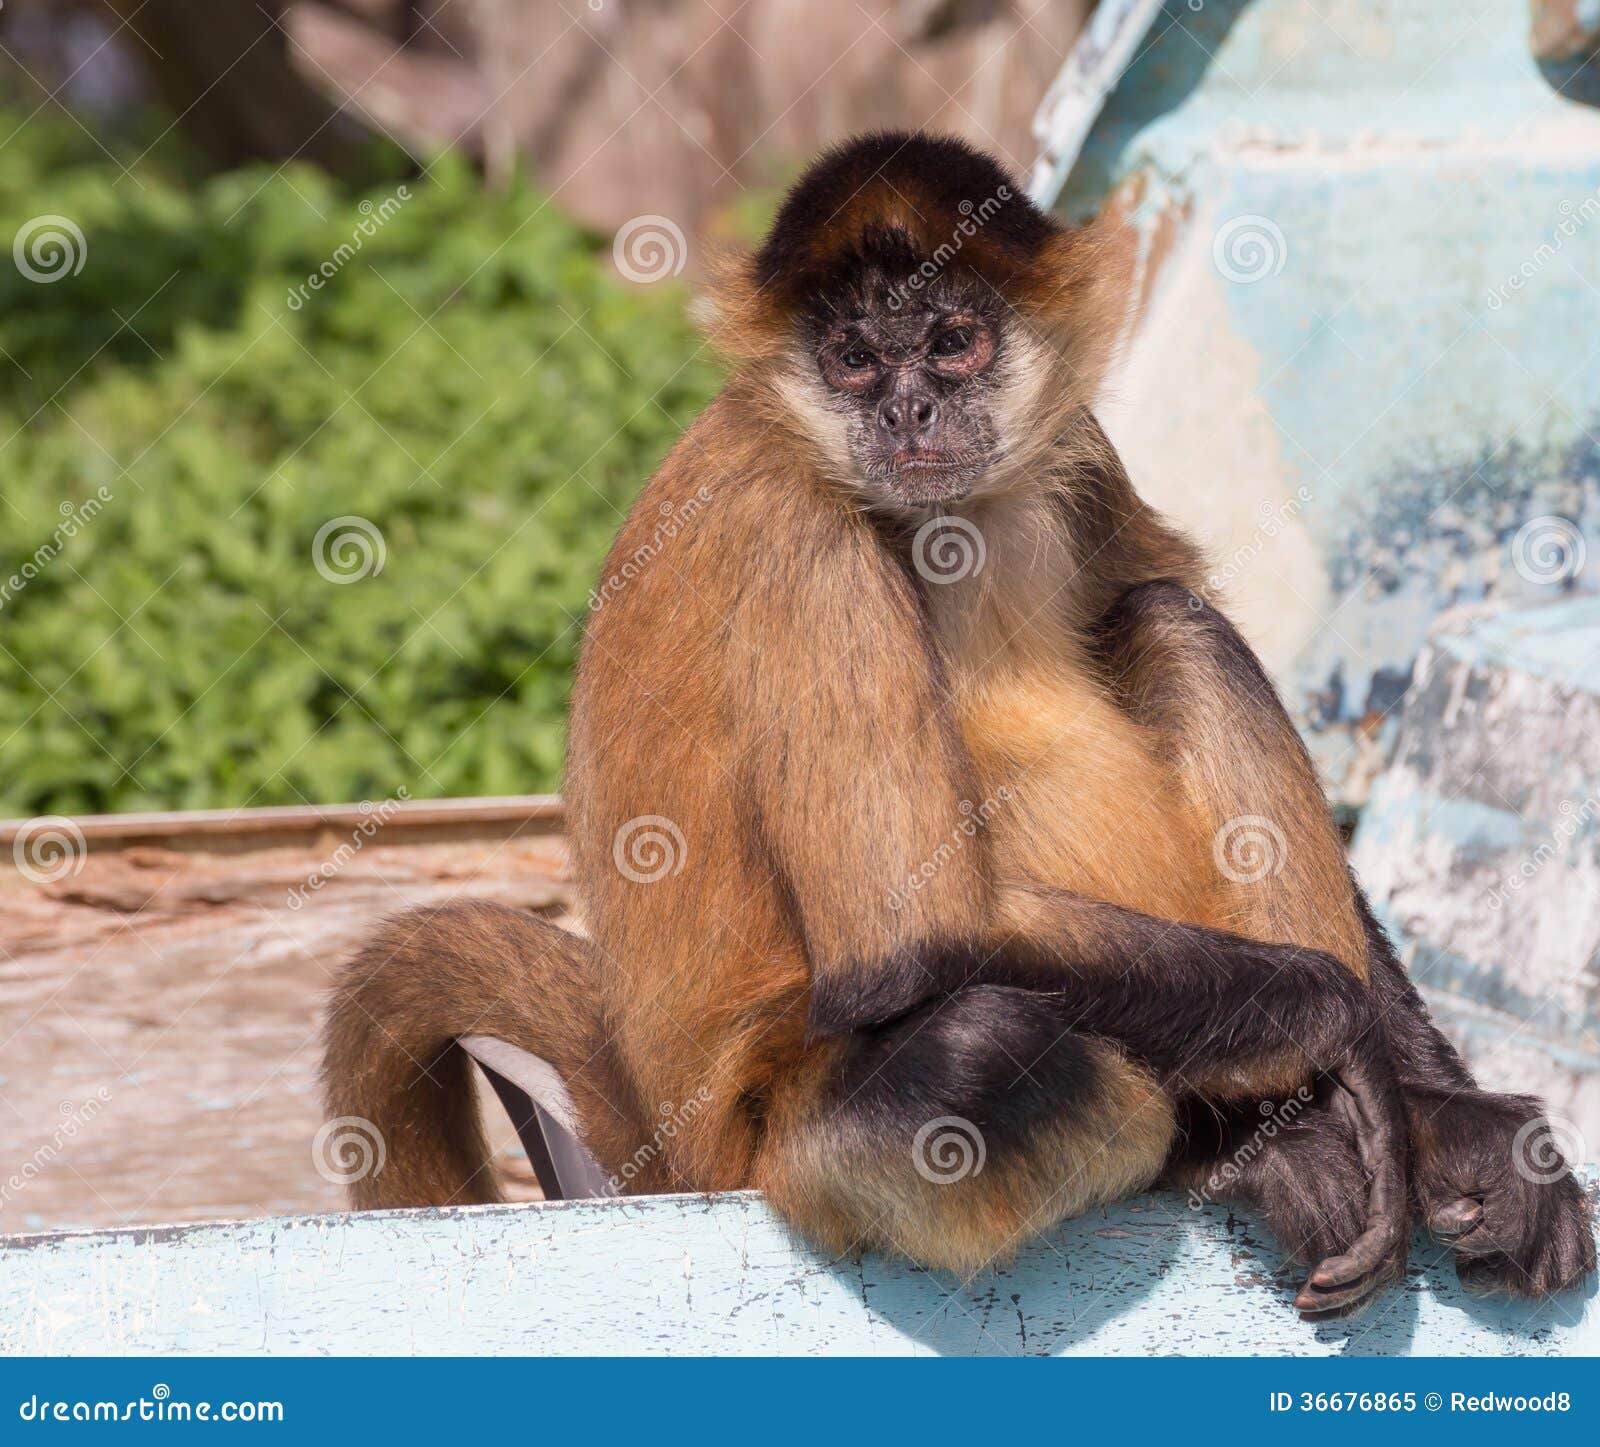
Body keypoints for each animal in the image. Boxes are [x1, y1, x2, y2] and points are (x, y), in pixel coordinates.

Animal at [323, 132, 1594, 1315]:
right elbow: (911, 949)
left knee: (1168, 618)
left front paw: (1442, 1117)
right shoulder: (802, 533)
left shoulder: (1072, 438)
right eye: (851, 359)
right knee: (978, 1053)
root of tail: (671, 1138)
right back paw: (1240, 1152)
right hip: (777, 1143)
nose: (904, 406)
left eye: (948, 343)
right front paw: (1347, 1038)